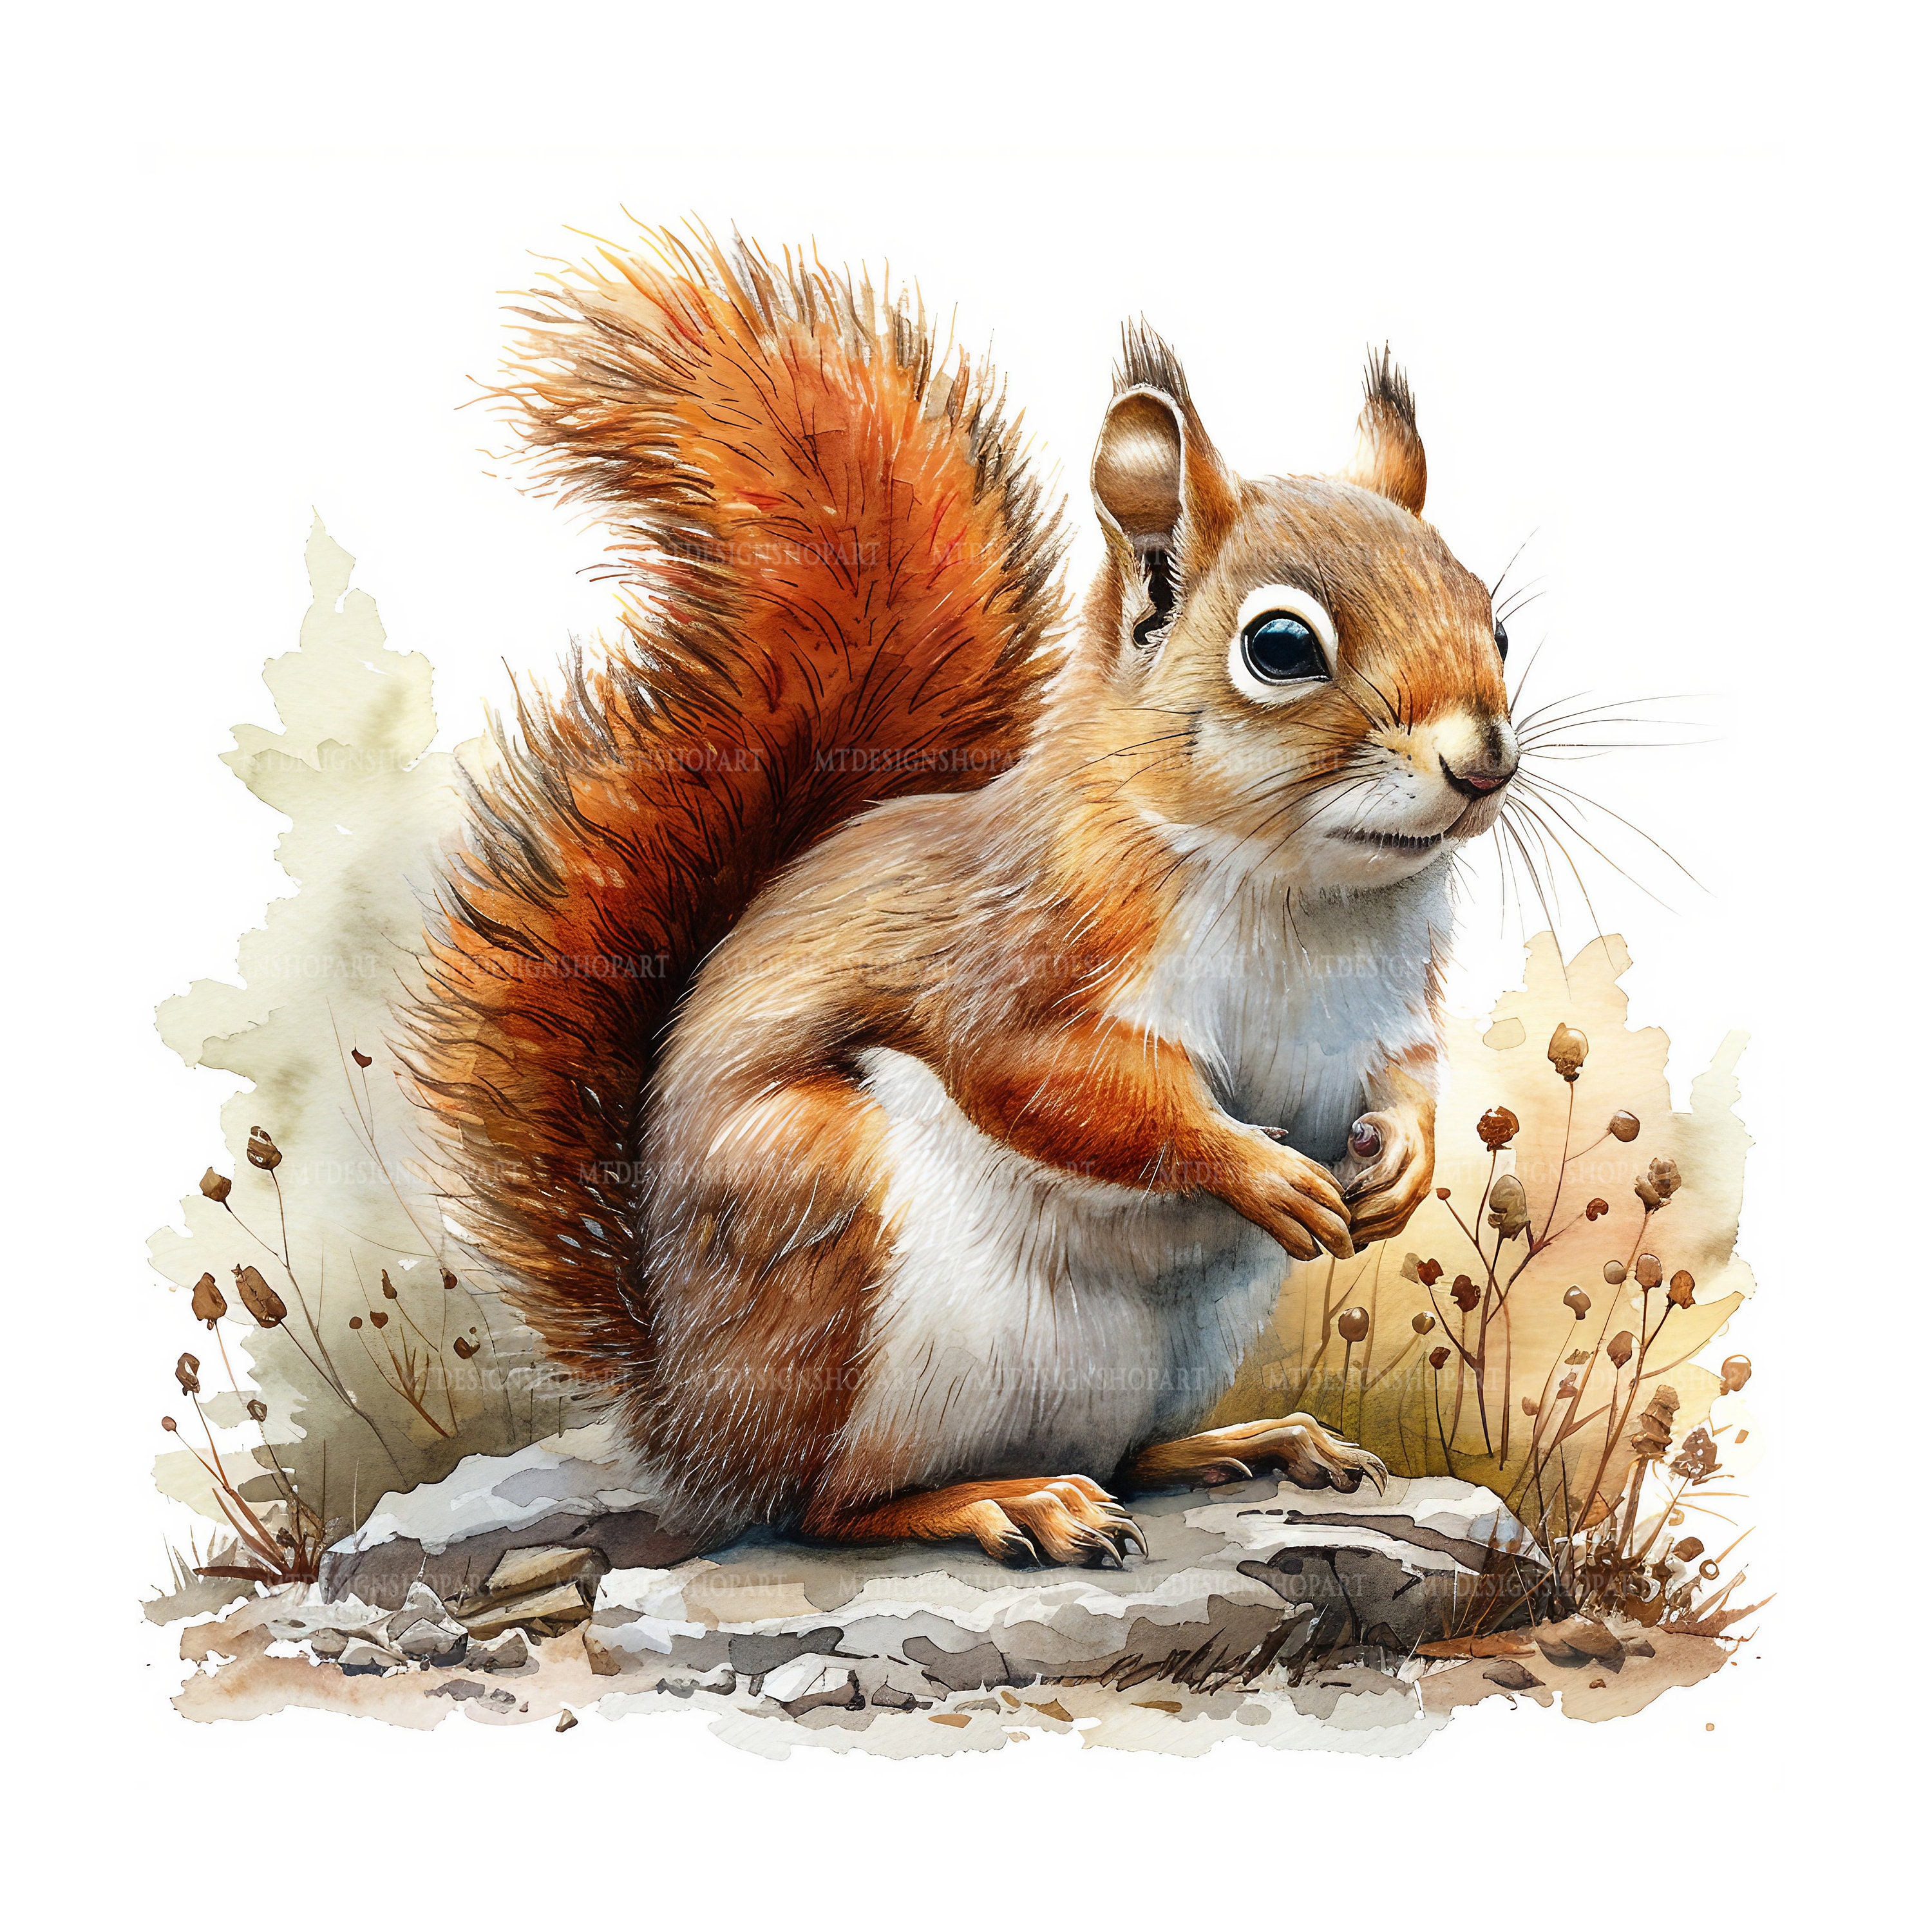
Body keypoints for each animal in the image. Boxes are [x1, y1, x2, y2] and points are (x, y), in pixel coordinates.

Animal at [409, 229, 1520, 1568]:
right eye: (1281, 648)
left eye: (1497, 627)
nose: (1485, 761)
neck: (1303, 890)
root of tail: (681, 1420)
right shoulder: (1016, 959)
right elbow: (1056, 1084)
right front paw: (1258, 1171)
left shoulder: (1385, 1006)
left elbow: (1404, 1076)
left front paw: (1403, 1163)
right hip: (826, 1230)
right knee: (824, 1507)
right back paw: (1006, 1501)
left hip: (1168, 1350)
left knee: (1124, 1454)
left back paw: (1249, 1443)